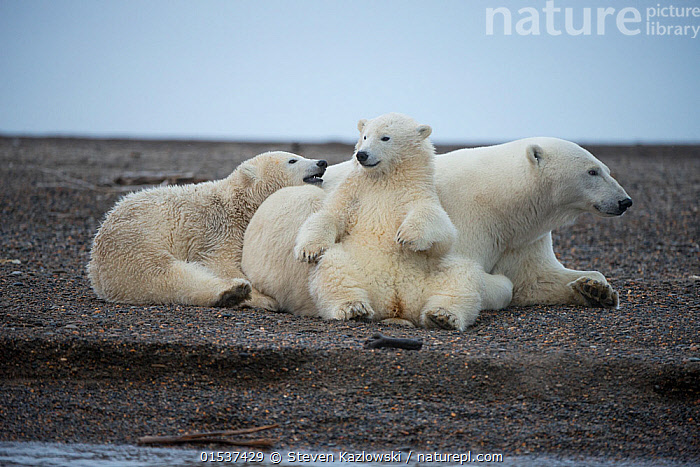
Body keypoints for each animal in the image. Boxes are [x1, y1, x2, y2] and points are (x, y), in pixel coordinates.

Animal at [87, 151, 327, 308]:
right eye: (292, 159)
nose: (322, 162)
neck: (238, 203)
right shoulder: (218, 228)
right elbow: (220, 263)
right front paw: (264, 297)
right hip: (135, 244)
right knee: (166, 276)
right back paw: (233, 293)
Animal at [241, 137, 631, 323]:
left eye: (605, 168)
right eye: (592, 171)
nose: (625, 201)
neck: (502, 198)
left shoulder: (522, 236)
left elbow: (535, 278)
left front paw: (596, 288)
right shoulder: (466, 217)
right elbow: (481, 276)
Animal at [249, 113, 512, 330]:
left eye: (385, 137)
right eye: (365, 136)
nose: (362, 154)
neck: (384, 181)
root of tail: (396, 306)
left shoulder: (417, 194)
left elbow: (441, 228)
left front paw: (407, 236)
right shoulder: (354, 194)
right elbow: (330, 215)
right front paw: (308, 250)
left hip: (431, 275)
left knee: (461, 277)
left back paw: (443, 315)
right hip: (355, 265)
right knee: (334, 268)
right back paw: (353, 308)